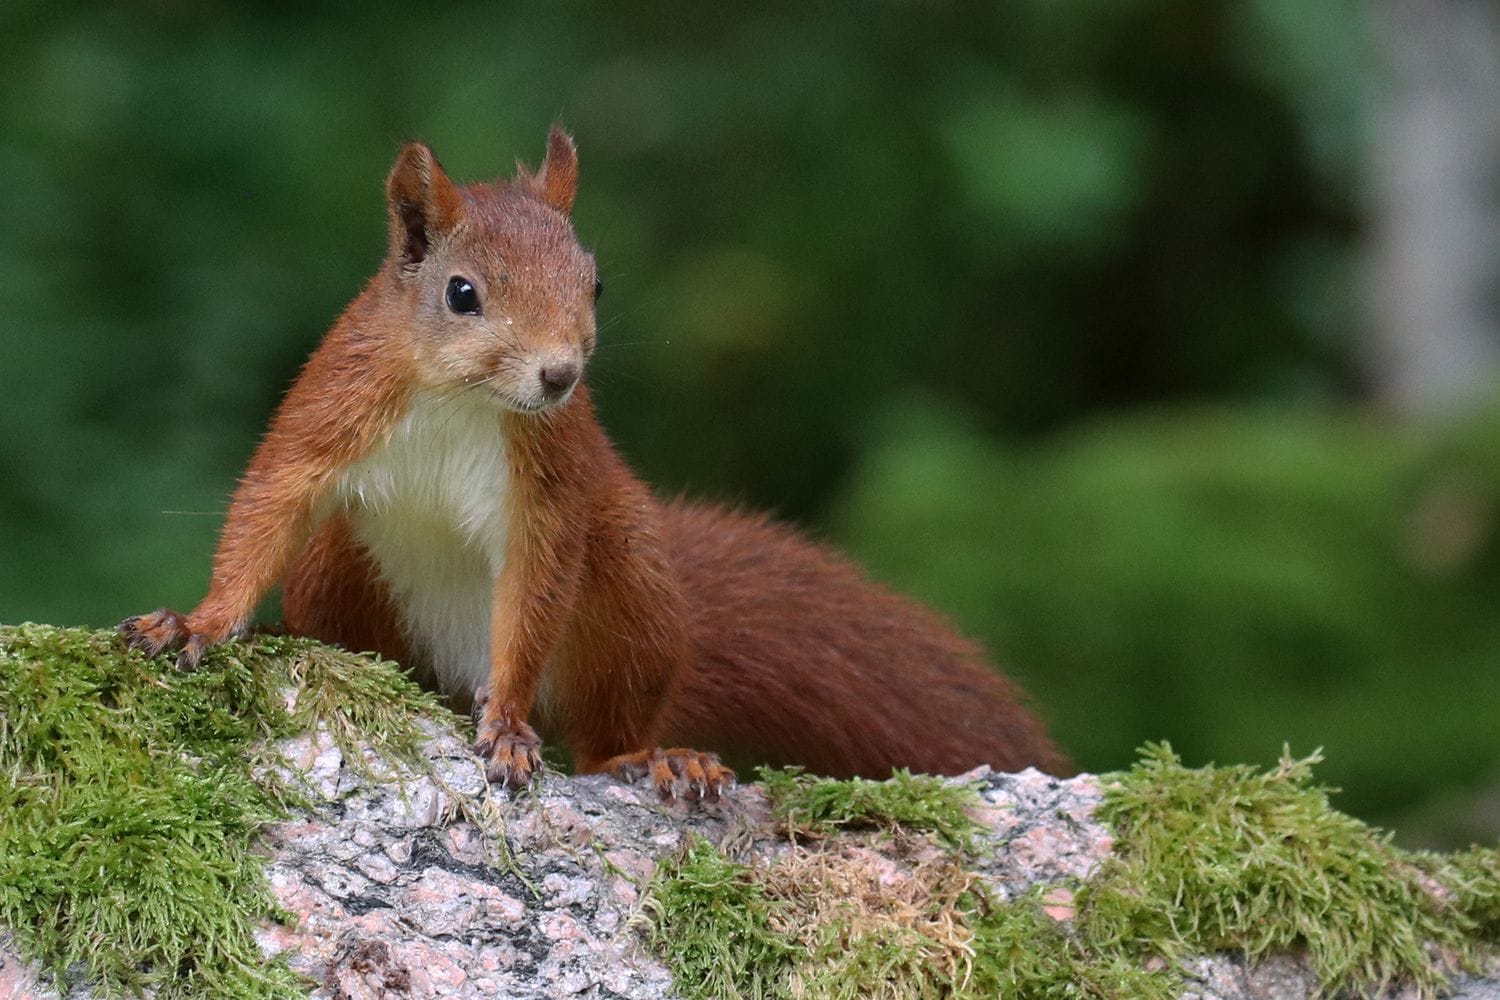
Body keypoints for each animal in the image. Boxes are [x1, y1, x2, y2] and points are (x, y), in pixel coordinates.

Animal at [119, 128, 1070, 797]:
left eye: (596, 283)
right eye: (463, 293)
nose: (560, 375)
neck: (462, 400)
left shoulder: (552, 484)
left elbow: (536, 589)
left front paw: (507, 727)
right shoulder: (332, 412)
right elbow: (268, 506)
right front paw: (198, 624)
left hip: (630, 587)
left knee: (606, 731)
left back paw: (653, 761)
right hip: (340, 565)